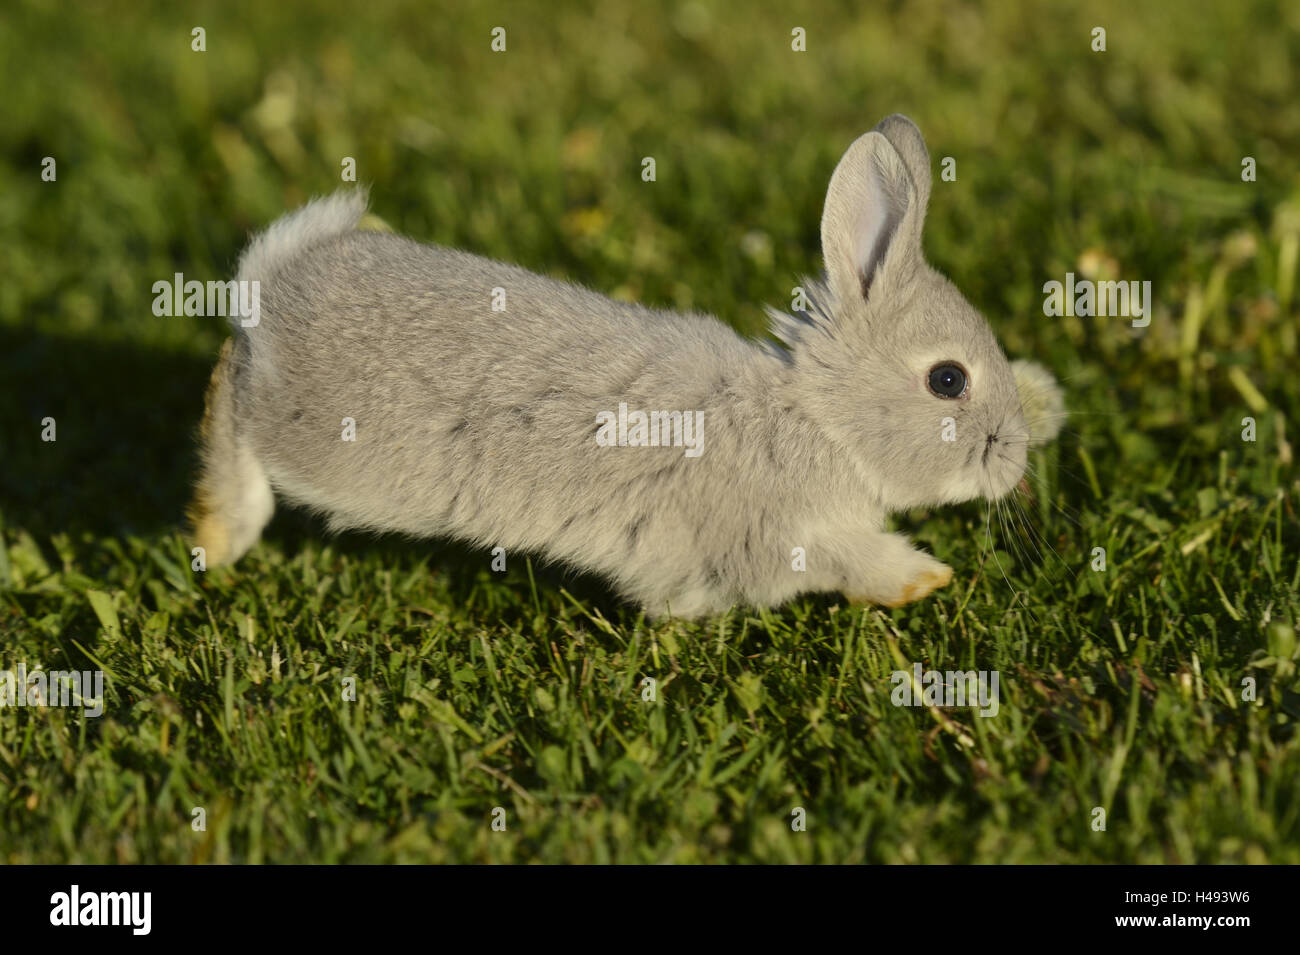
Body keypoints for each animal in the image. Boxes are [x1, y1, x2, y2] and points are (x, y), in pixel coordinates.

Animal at [189, 114, 1064, 619]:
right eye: (947, 380)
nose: (1014, 454)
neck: (817, 419)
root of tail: (278, 282)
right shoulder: (768, 536)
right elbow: (842, 559)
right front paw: (924, 575)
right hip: (324, 443)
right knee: (232, 400)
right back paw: (222, 531)